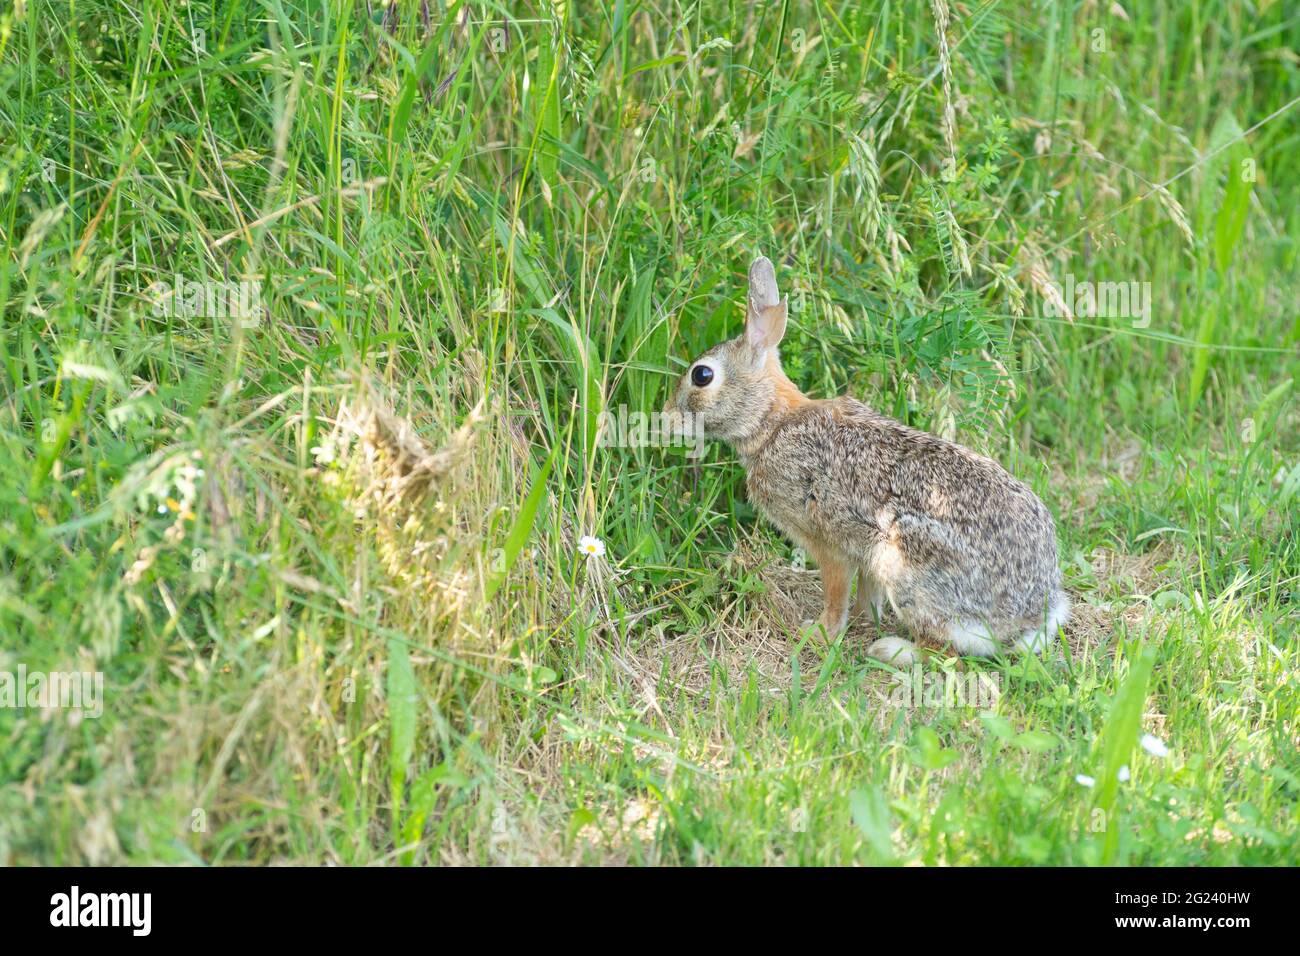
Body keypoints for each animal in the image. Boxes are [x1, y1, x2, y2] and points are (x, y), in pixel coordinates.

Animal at [662, 255, 1069, 667]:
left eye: (702, 375)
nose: (666, 418)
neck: (771, 422)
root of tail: (1027, 616)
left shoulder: (827, 541)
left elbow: (835, 593)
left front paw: (820, 633)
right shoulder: (863, 551)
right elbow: (865, 592)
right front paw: (862, 618)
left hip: (907, 562)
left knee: (942, 650)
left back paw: (891, 650)